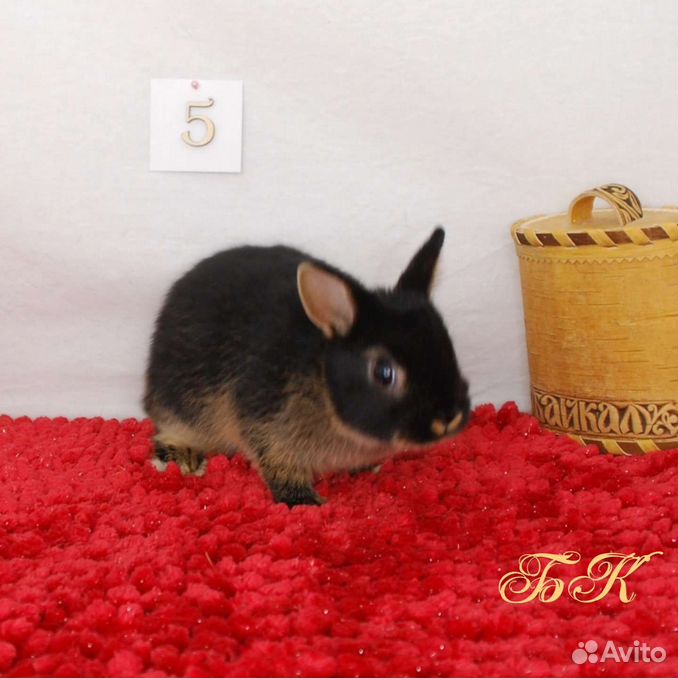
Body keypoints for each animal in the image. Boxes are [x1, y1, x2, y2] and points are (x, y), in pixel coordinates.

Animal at [143, 227, 470, 506]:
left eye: (449, 346)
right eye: (384, 372)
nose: (448, 419)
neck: (323, 383)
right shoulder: (268, 427)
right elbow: (279, 466)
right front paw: (305, 502)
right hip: (179, 403)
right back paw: (182, 458)